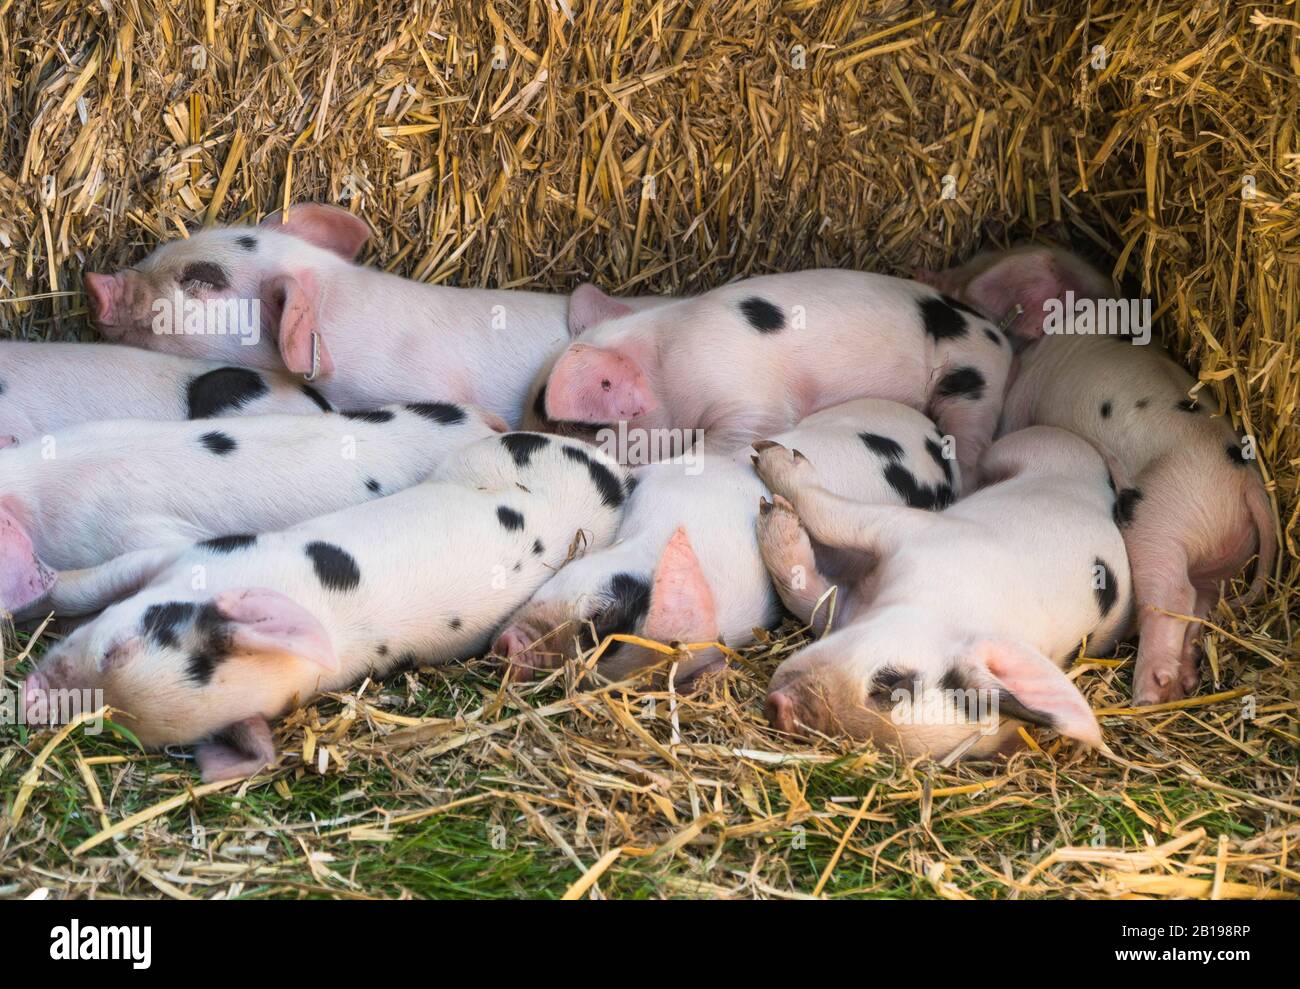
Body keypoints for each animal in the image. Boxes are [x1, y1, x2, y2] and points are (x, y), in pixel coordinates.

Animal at [526, 272, 1013, 479]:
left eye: (575, 427)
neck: (665, 370)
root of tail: (999, 334)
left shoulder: (745, 394)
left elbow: (736, 434)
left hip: (974, 380)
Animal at [753, 425, 1132, 758]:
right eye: (891, 681)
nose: (779, 711)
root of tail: (1103, 485)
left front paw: (772, 507)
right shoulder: (919, 531)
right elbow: (822, 548)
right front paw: (768, 464)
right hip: (1026, 447)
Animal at [918, 245, 1276, 705]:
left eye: (969, 271)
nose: (922, 273)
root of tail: (1248, 484)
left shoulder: (1021, 400)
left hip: (1160, 516)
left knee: (1173, 593)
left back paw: (1150, 691)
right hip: (1220, 559)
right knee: (1201, 603)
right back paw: (1186, 678)